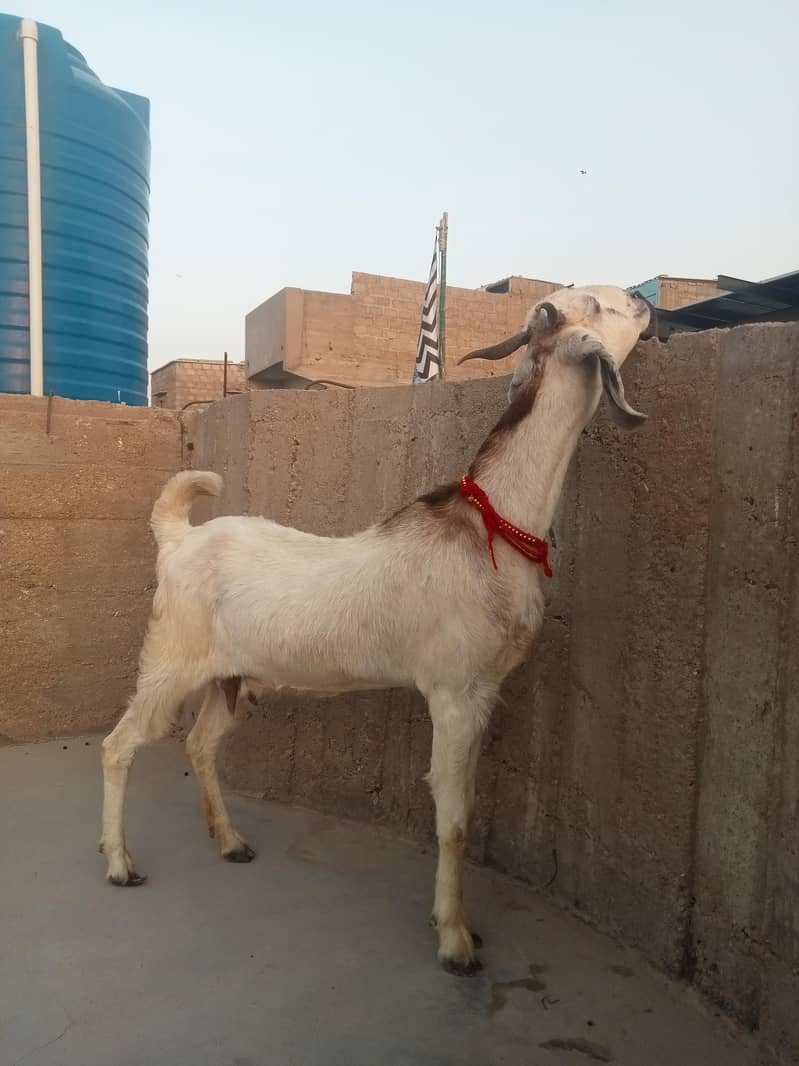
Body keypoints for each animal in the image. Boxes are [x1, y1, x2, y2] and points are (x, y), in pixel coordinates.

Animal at [100, 285, 651, 975]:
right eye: (597, 306)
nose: (644, 303)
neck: (493, 527)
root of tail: (177, 536)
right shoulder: (452, 692)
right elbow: (453, 819)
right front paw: (455, 940)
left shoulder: (483, 693)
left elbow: (464, 805)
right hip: (170, 662)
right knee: (119, 745)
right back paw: (120, 864)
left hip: (235, 679)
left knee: (200, 745)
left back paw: (230, 842)